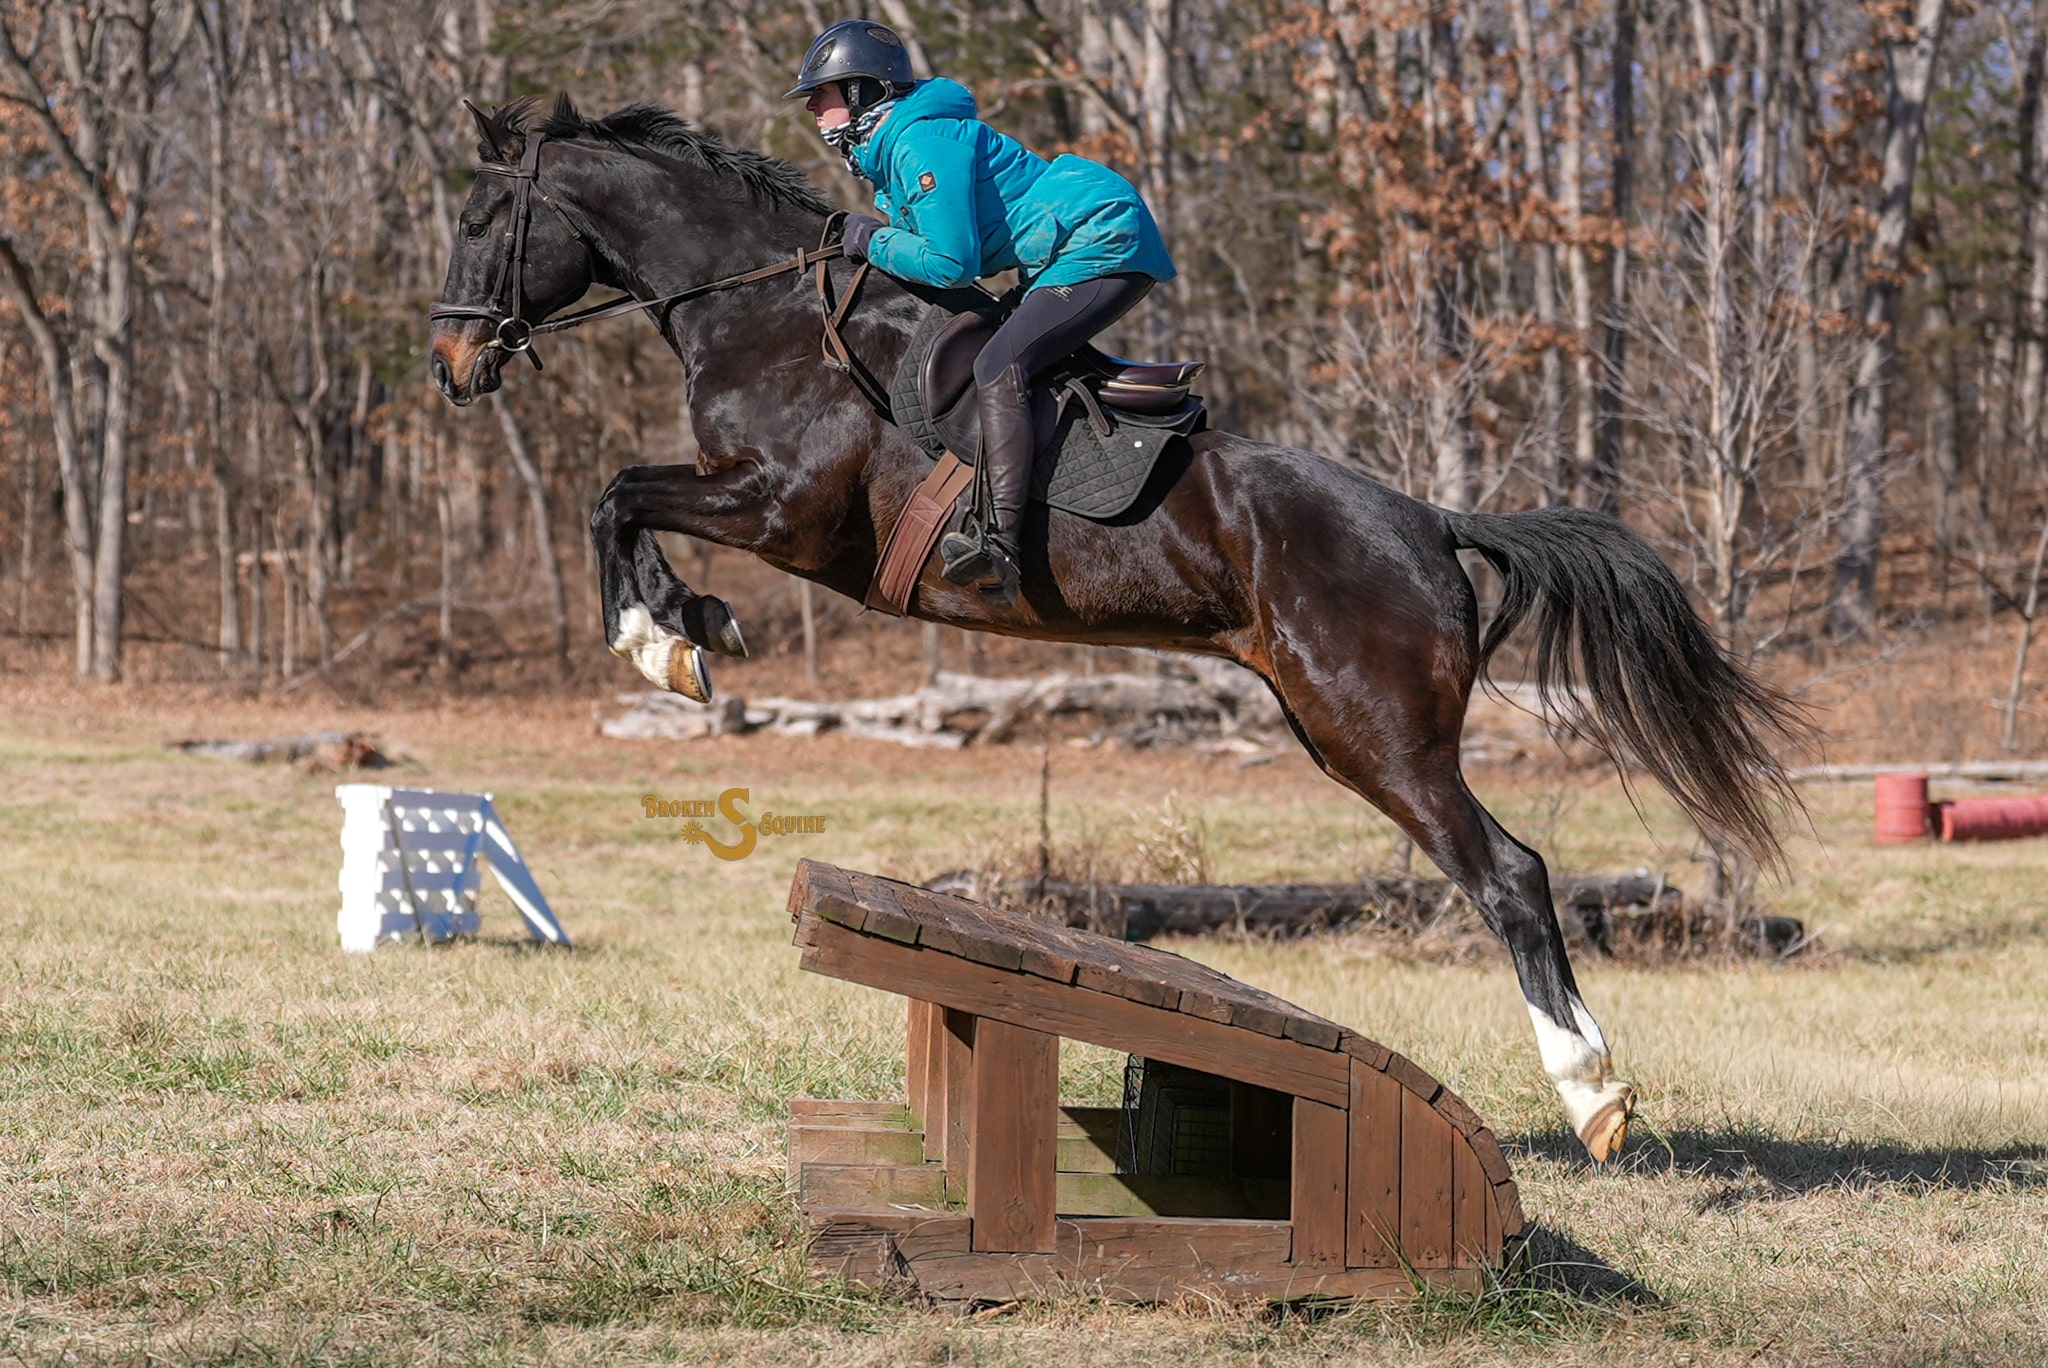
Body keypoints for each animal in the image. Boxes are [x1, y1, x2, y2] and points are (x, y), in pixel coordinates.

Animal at [428, 94, 1807, 1162]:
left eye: (482, 221)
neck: (761, 314)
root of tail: (1427, 518)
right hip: (1332, 730)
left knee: (1508, 874)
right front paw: (685, 622)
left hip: (1375, 734)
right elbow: (617, 497)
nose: (450, 366)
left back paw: (1593, 1098)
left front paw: (662, 637)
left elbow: (614, 490)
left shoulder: (780, 510)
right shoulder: (754, 507)